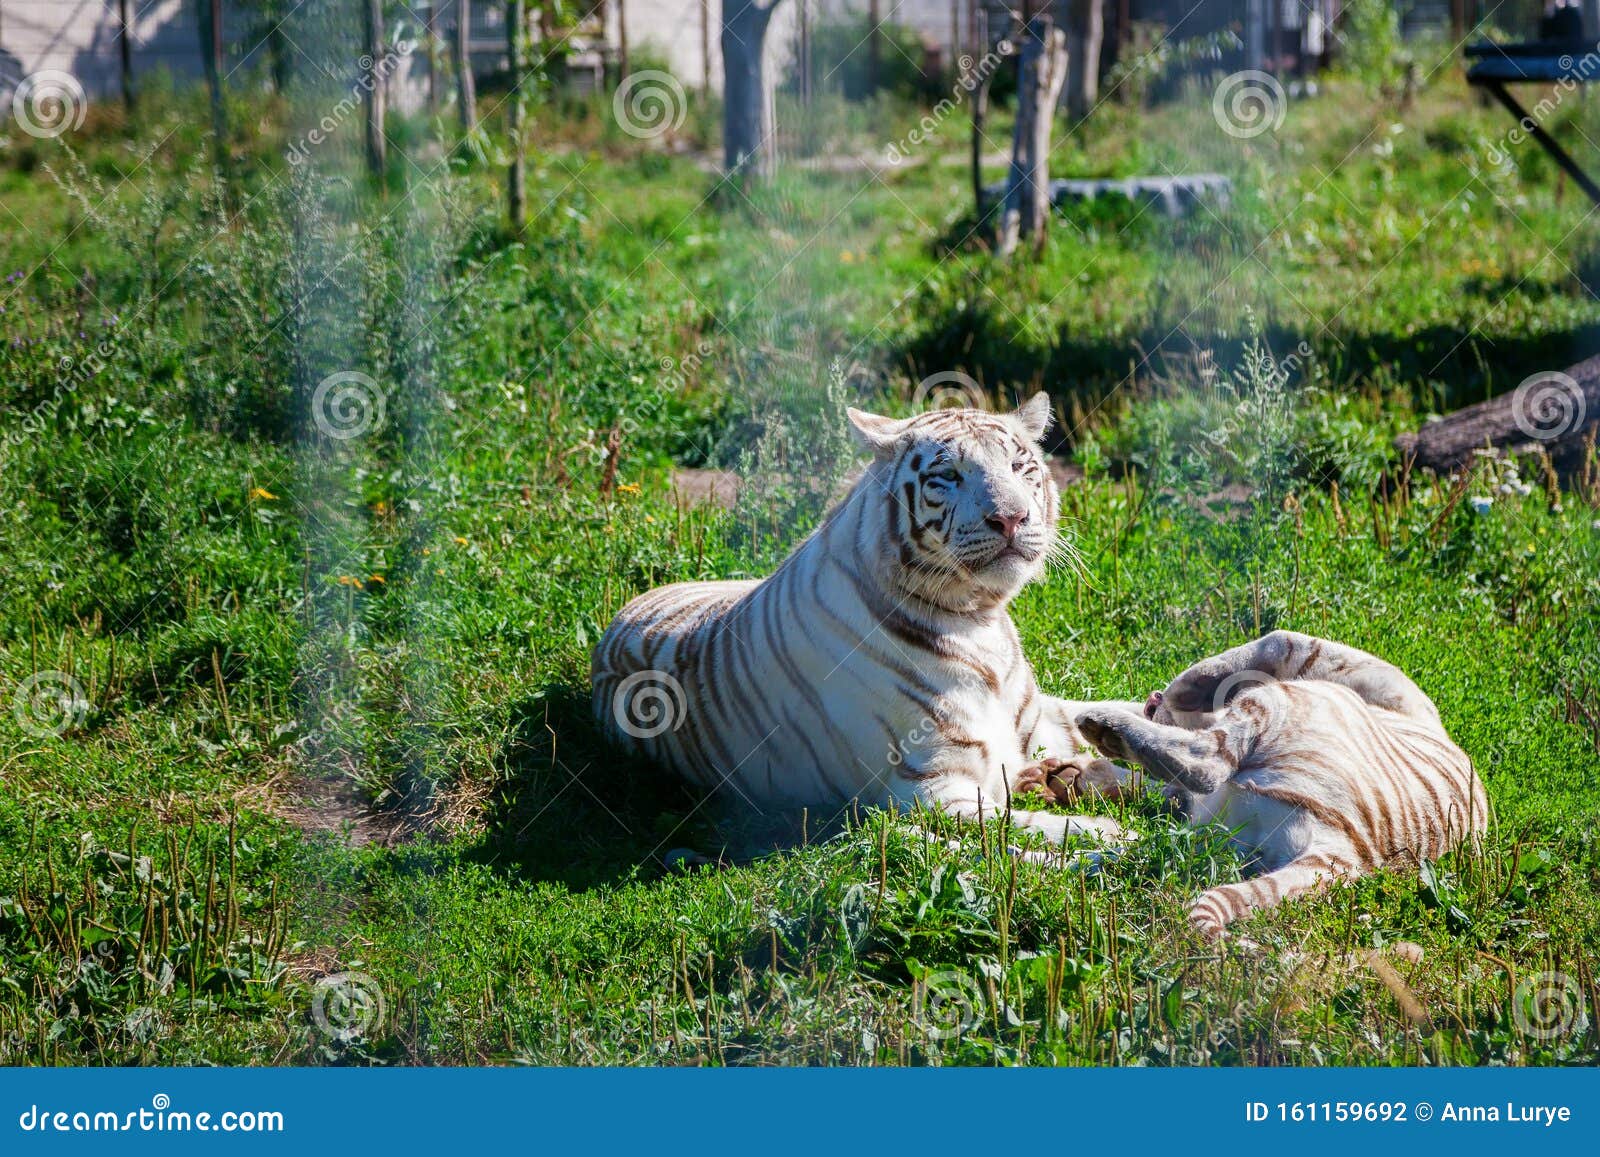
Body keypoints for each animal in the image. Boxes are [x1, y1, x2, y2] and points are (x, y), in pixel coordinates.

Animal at [591, 393, 1140, 846]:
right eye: (949, 476)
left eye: (1020, 466)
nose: (1012, 518)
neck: (979, 620)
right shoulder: (928, 788)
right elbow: (1024, 826)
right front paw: (1113, 833)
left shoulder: (1037, 722)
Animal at [1072, 630, 1489, 939]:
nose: (1151, 702)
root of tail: (1351, 854)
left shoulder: (1346, 664)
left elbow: (1269, 642)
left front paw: (1178, 694)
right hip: (1216, 837)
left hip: (1283, 701)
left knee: (1207, 762)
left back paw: (1103, 727)